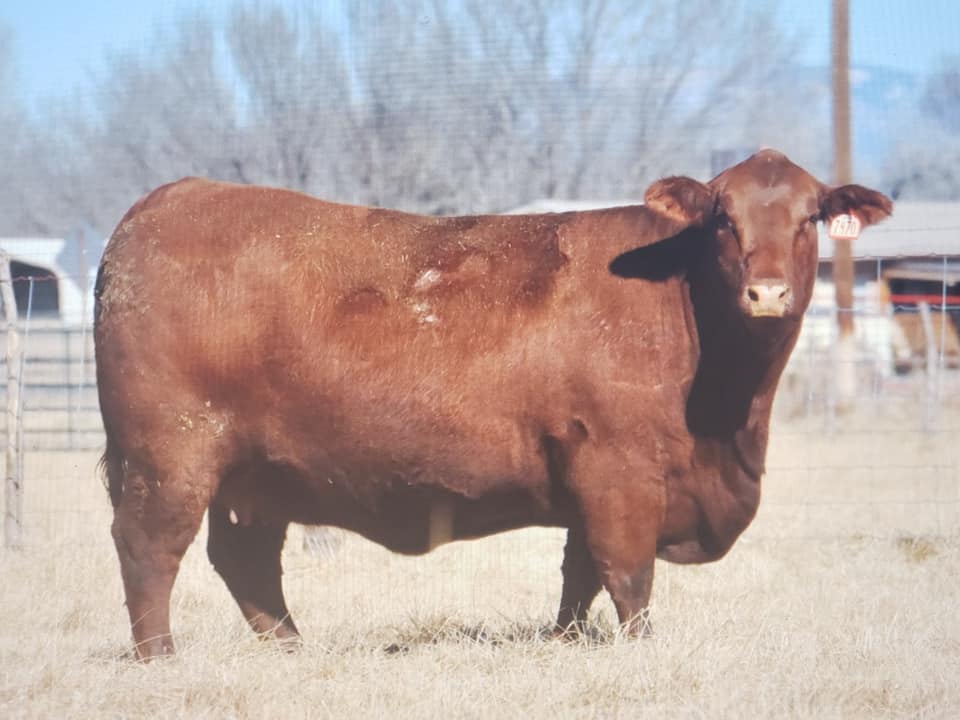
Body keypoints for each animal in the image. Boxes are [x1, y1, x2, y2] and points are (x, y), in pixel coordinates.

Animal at [95, 150, 892, 660]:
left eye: (810, 217)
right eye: (724, 218)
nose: (767, 292)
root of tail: (168, 199)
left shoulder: (589, 483)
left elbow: (579, 575)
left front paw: (565, 643)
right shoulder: (619, 472)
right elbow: (627, 575)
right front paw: (641, 651)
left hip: (254, 474)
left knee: (245, 557)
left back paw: (292, 648)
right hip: (170, 455)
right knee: (149, 547)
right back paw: (160, 658)